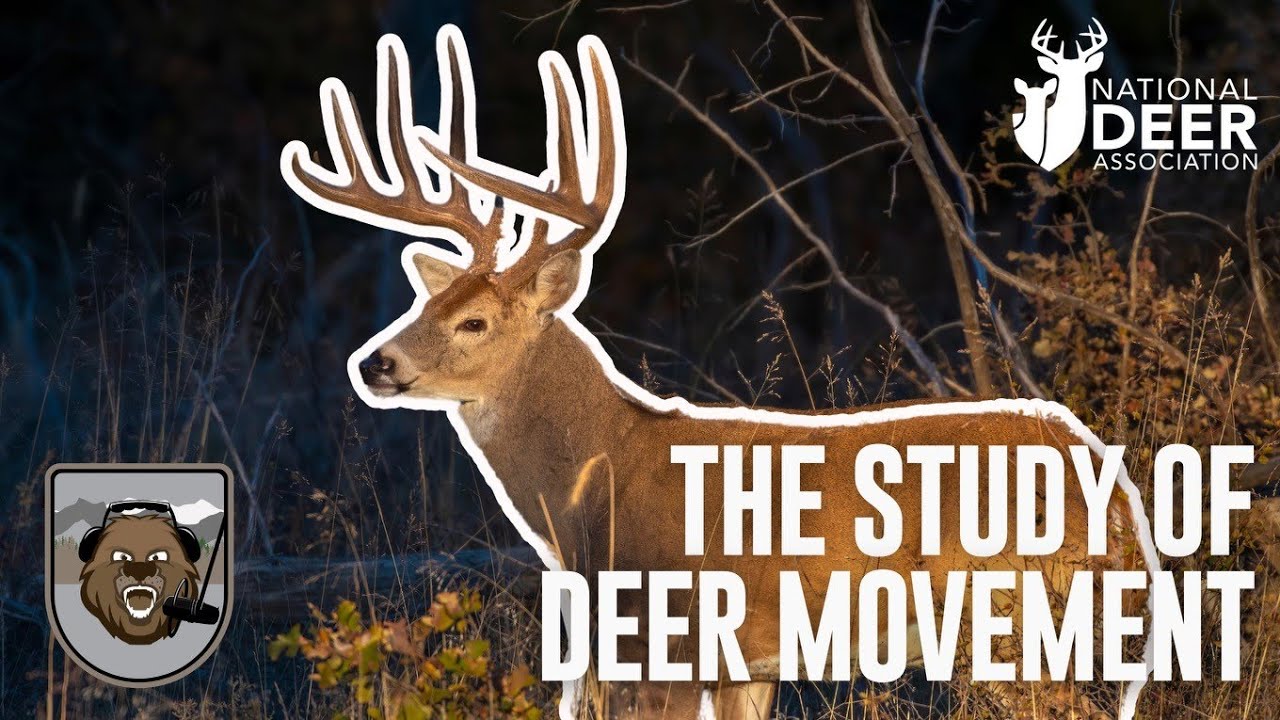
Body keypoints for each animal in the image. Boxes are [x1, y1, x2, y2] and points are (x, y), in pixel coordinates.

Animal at [281, 25, 1157, 720]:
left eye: (475, 322)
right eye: (425, 300)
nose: (375, 362)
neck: (597, 486)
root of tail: (1117, 496)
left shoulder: (665, 645)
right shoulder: (745, 664)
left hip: (1015, 618)